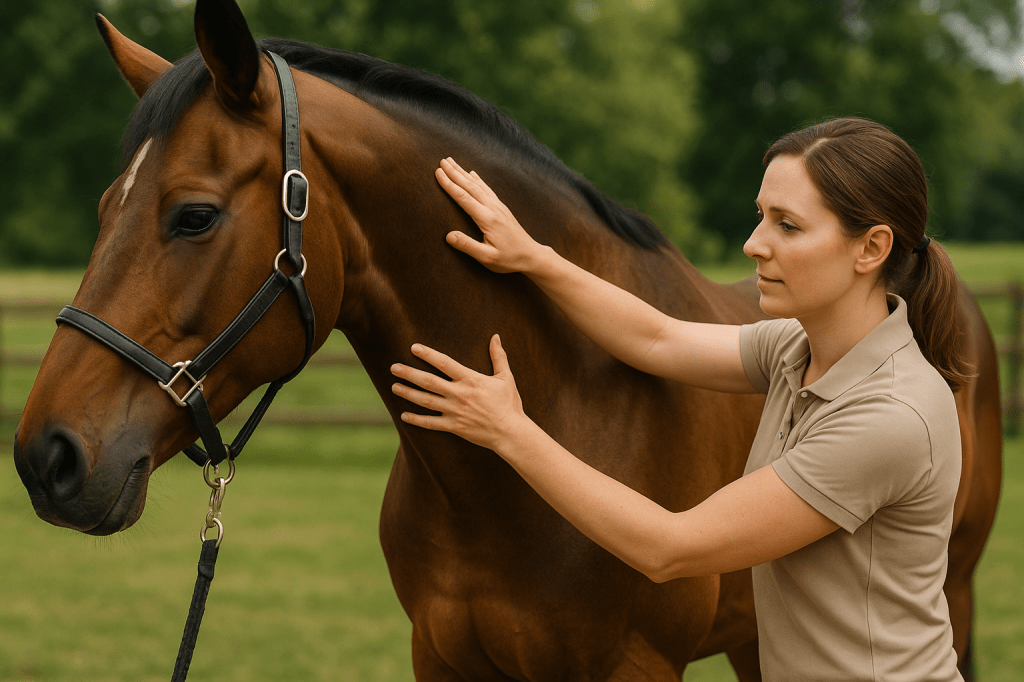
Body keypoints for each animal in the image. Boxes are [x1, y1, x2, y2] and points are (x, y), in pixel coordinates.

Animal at [13, 1, 1001, 679]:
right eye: (104, 208)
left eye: (194, 215)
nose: (46, 458)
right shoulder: (445, 657)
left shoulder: (633, 665)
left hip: (947, 596)